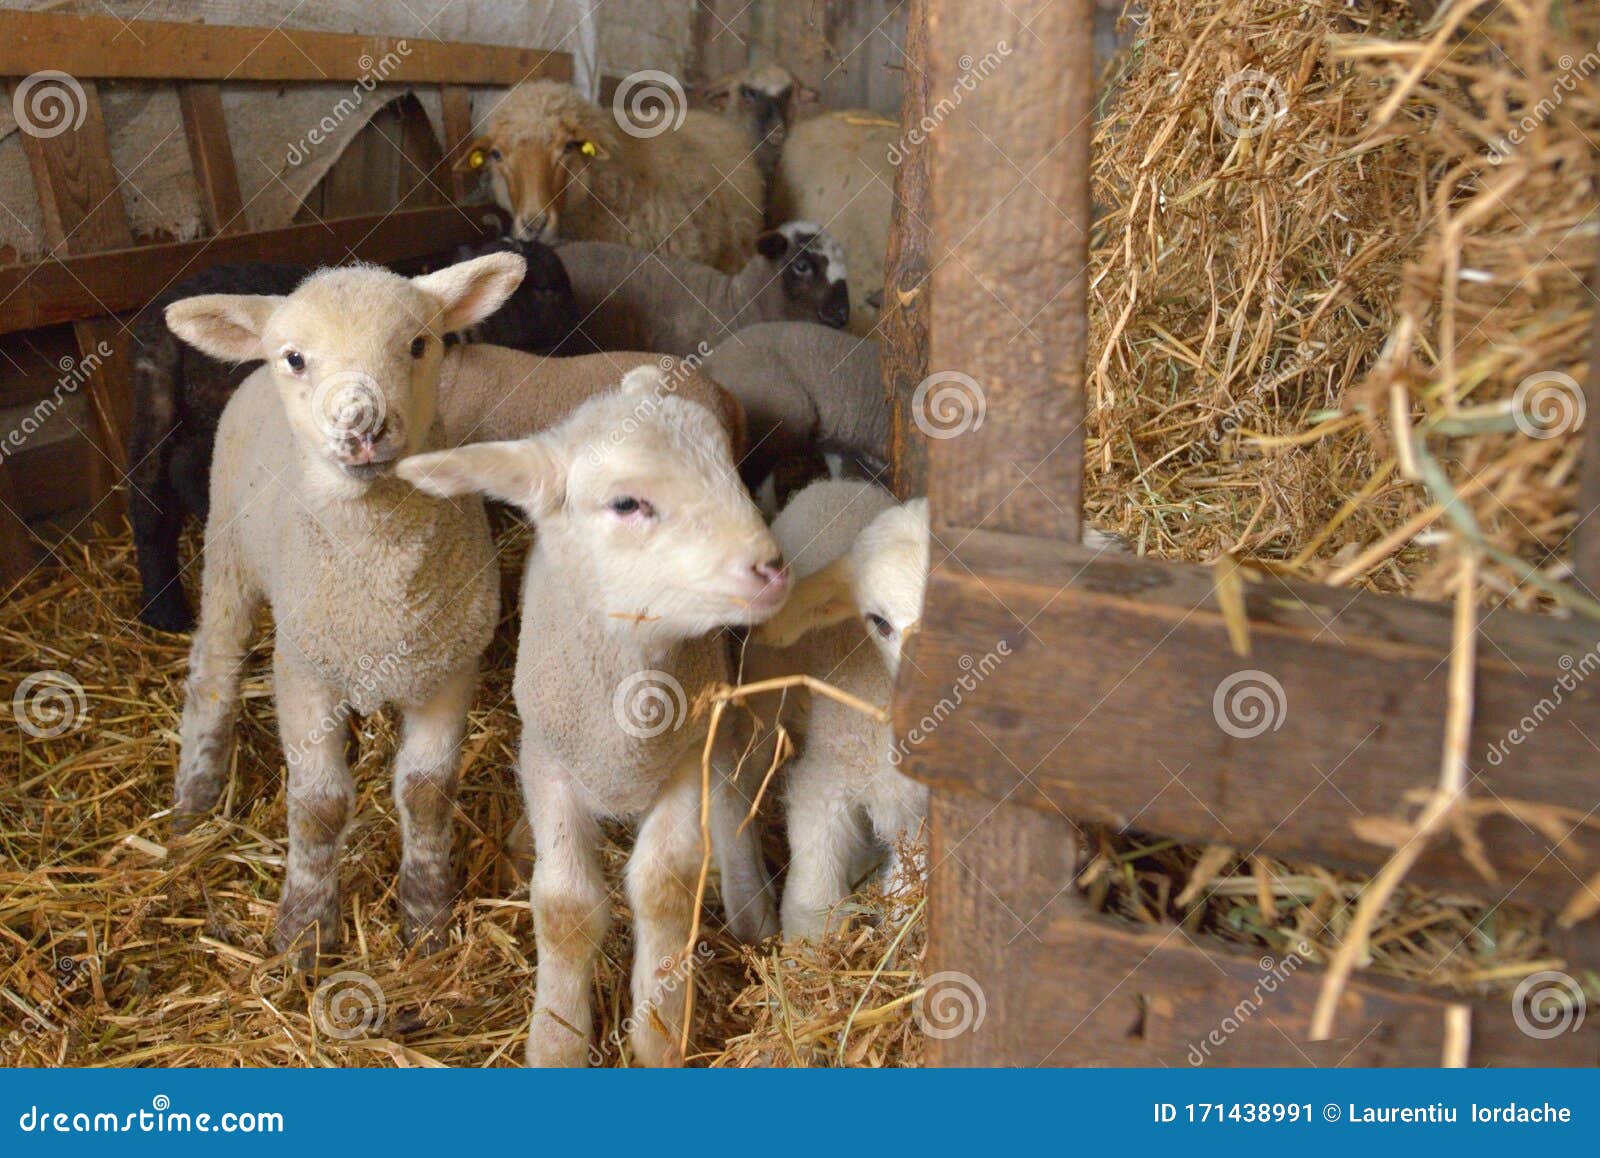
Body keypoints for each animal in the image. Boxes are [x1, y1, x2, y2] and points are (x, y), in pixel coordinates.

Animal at [127, 235, 578, 632]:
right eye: (547, 291)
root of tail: (160, 330)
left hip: (157, 403)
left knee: (153, 493)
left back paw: (164, 610)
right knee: (180, 472)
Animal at [165, 251, 528, 962]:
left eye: (418, 344)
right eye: (296, 358)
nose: (361, 423)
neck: (380, 579)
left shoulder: (449, 670)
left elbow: (428, 794)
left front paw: (426, 917)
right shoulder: (303, 671)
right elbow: (320, 805)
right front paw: (304, 931)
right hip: (228, 553)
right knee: (214, 668)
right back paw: (195, 791)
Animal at [397, 365, 787, 1067]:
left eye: (728, 468)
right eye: (627, 505)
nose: (770, 568)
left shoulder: (683, 756)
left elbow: (664, 887)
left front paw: (660, 1033)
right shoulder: (550, 761)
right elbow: (566, 909)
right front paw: (558, 1040)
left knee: (732, 784)